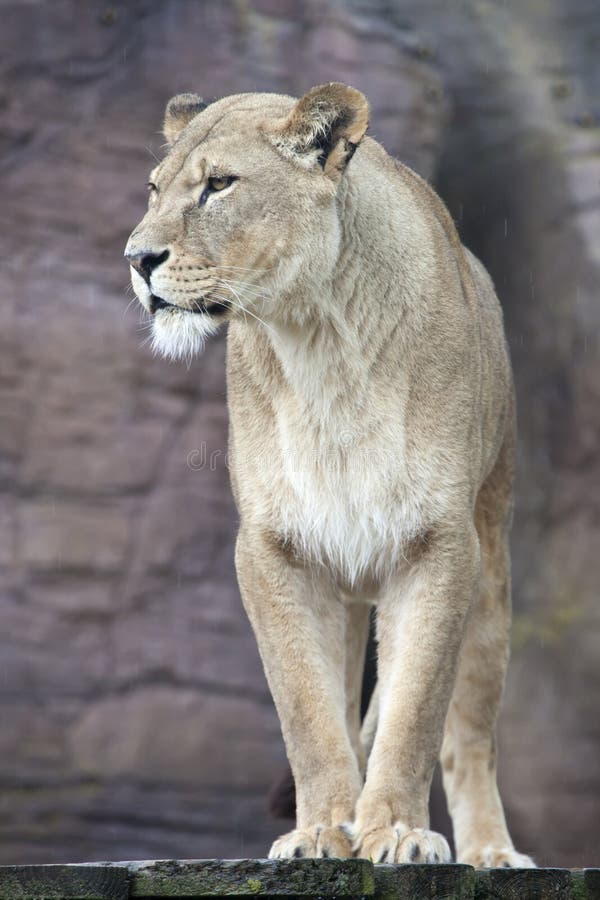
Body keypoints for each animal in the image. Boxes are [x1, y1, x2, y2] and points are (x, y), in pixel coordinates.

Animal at [125, 83, 535, 867]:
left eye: (219, 185)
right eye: (155, 190)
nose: (137, 258)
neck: (317, 339)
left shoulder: (442, 543)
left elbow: (415, 711)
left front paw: (398, 832)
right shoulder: (272, 547)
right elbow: (307, 712)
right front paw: (321, 832)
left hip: (493, 566)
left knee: (470, 735)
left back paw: (491, 853)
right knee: (344, 706)